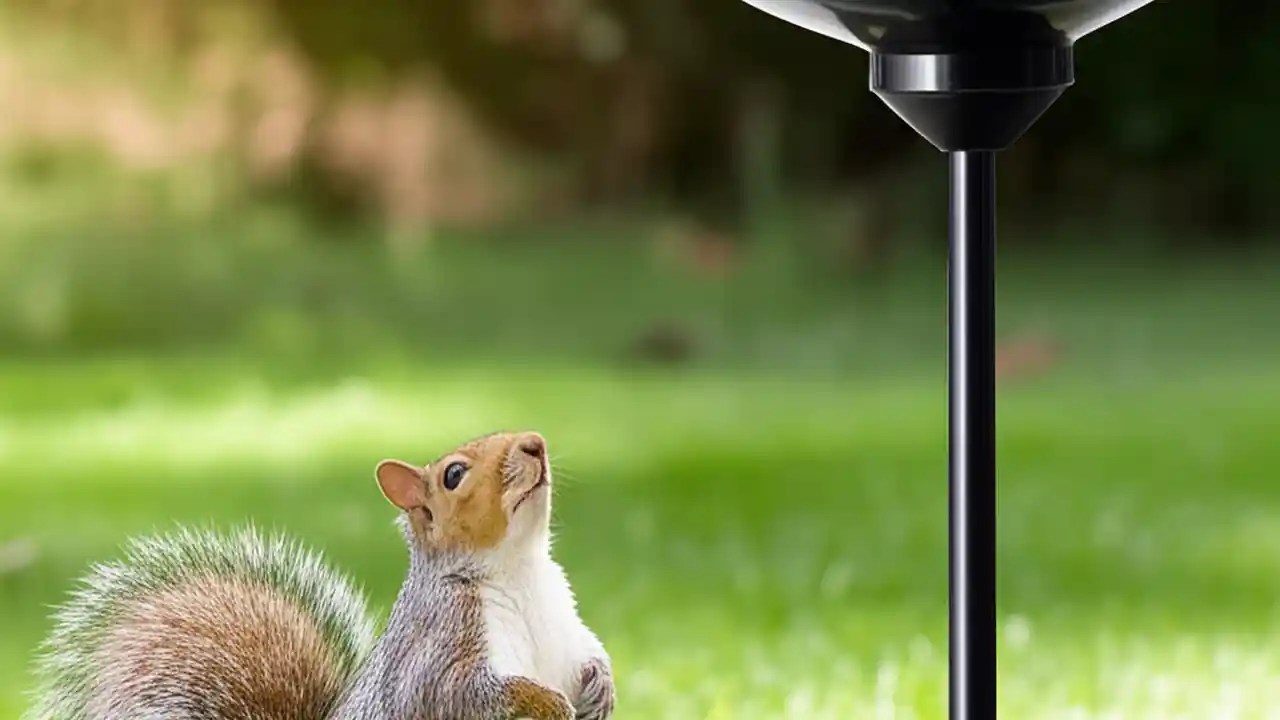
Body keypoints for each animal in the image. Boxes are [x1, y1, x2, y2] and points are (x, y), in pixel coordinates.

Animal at [29, 431, 616, 720]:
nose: (535, 442)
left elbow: (587, 657)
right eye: (454, 475)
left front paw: (601, 687)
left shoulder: (564, 630)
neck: (520, 570)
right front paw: (544, 701)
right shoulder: (440, 643)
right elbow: (460, 693)